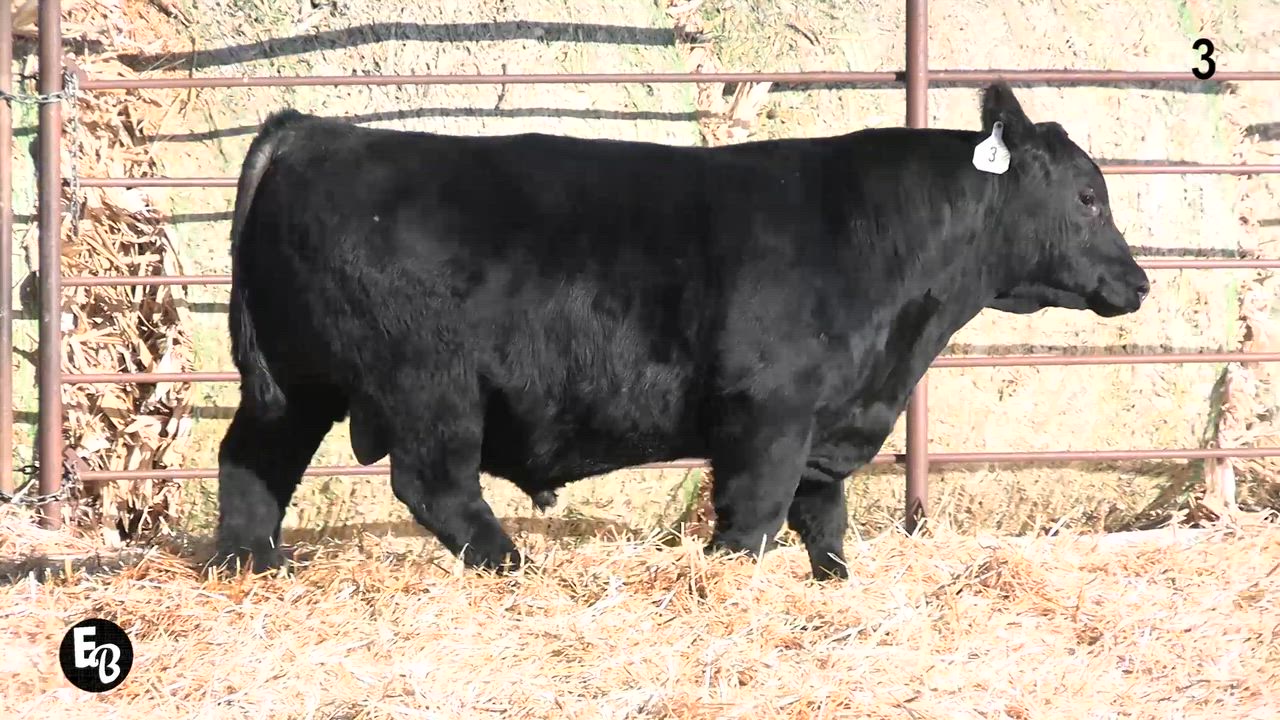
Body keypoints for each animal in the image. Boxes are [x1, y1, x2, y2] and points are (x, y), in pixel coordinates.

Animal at [211, 82, 1149, 581]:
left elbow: (825, 517)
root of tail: (310, 130)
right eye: (1087, 197)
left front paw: (835, 583)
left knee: (251, 461)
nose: (1136, 282)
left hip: (296, 385)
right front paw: (729, 575)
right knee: (435, 484)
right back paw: (511, 566)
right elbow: (757, 514)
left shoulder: (828, 422)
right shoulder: (768, 415)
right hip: (426, 386)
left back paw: (252, 564)